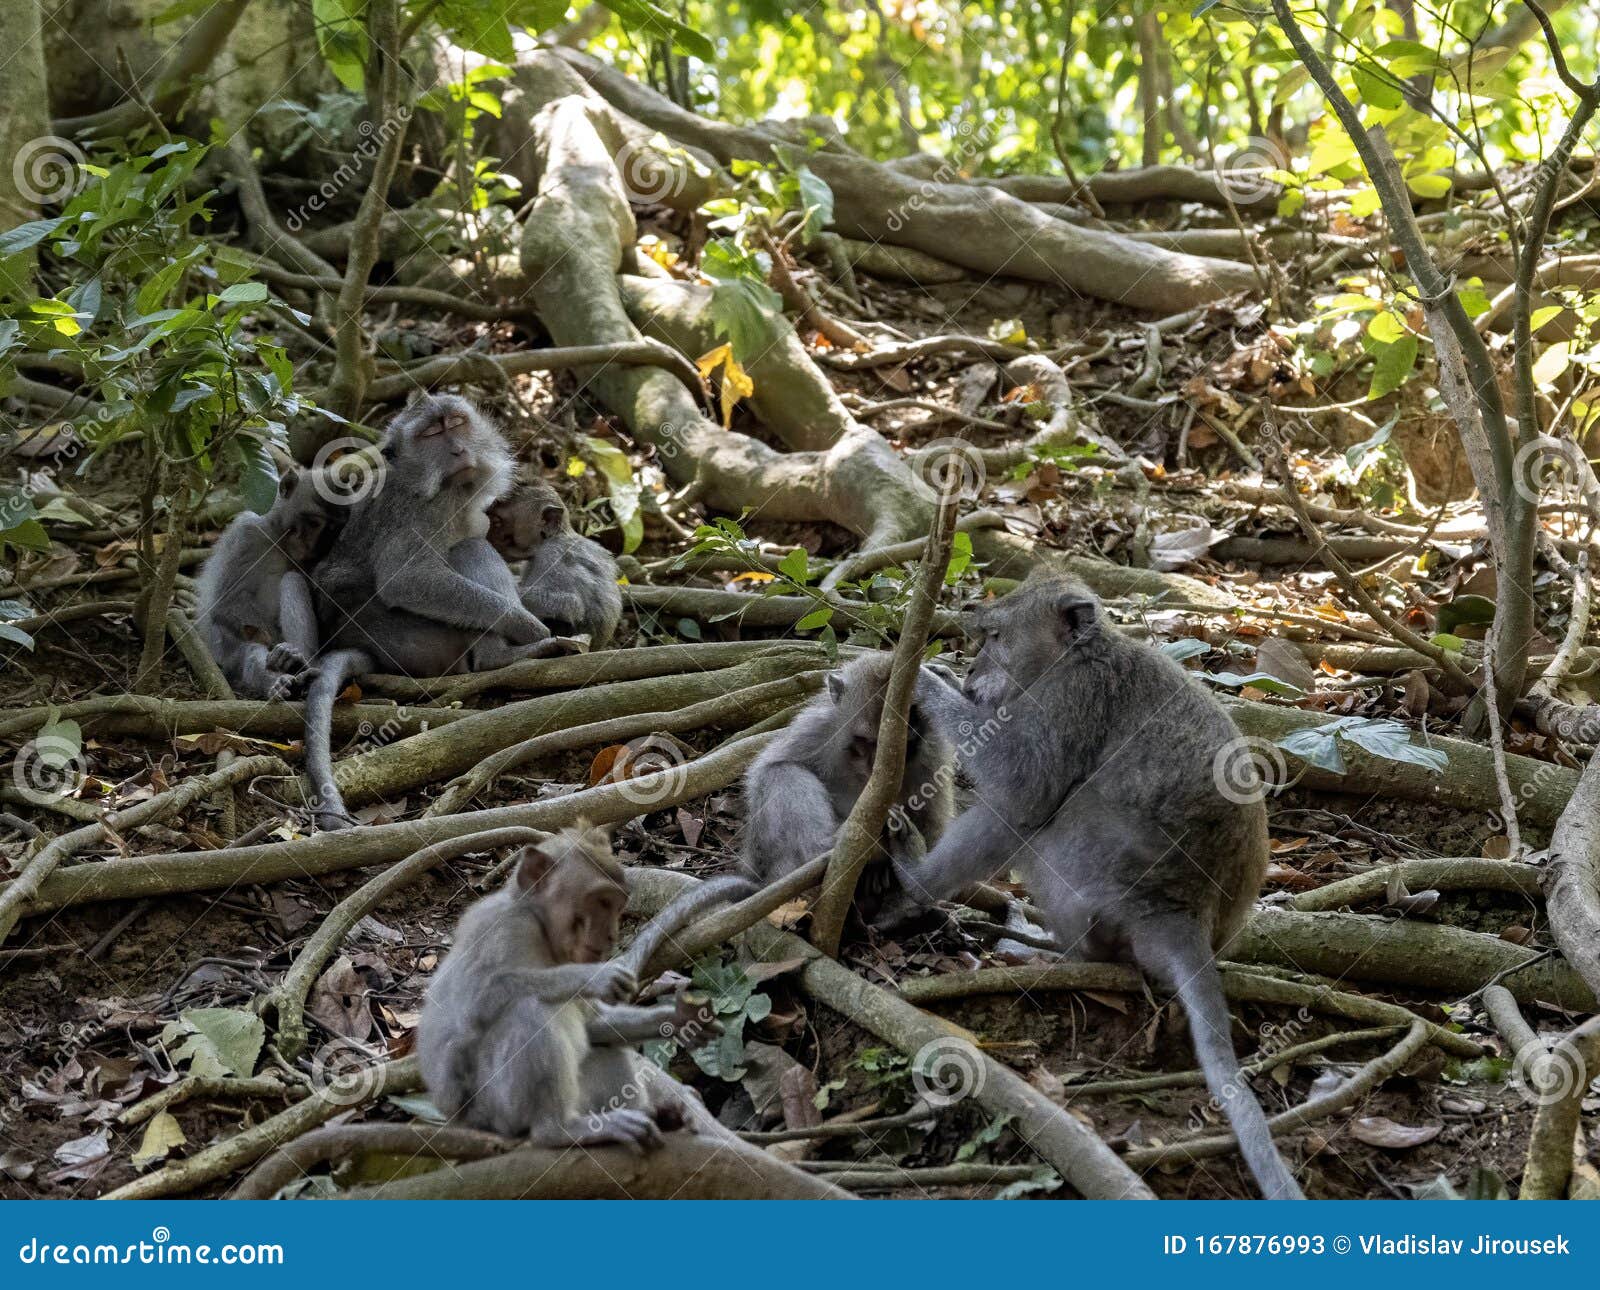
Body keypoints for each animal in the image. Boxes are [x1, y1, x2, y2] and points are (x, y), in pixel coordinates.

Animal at [194, 467, 342, 700]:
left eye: (330, 529)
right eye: (313, 523)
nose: (311, 546)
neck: (279, 539)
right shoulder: (247, 534)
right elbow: (227, 601)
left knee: (292, 581)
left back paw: (297, 661)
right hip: (225, 654)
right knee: (249, 649)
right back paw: (277, 680)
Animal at [416, 822, 750, 1147]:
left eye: (616, 905)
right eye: (601, 901)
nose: (612, 935)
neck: (543, 932)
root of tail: (460, 1121)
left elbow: (595, 1025)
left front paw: (676, 1019)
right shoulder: (502, 929)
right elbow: (475, 1003)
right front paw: (592, 977)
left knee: (604, 1047)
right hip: (497, 1110)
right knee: (529, 1010)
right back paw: (559, 1129)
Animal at [740, 652, 956, 918]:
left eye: (906, 742)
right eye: (866, 740)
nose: (876, 766)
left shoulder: (933, 751)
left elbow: (932, 819)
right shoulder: (819, 728)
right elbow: (773, 765)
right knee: (783, 774)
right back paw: (828, 847)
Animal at [874, 574, 1304, 1200]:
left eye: (995, 637)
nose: (973, 670)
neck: (1076, 656)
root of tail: (1184, 913)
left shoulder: (1067, 701)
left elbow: (1024, 783)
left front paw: (925, 681)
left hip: (1096, 877)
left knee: (1032, 815)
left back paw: (925, 892)